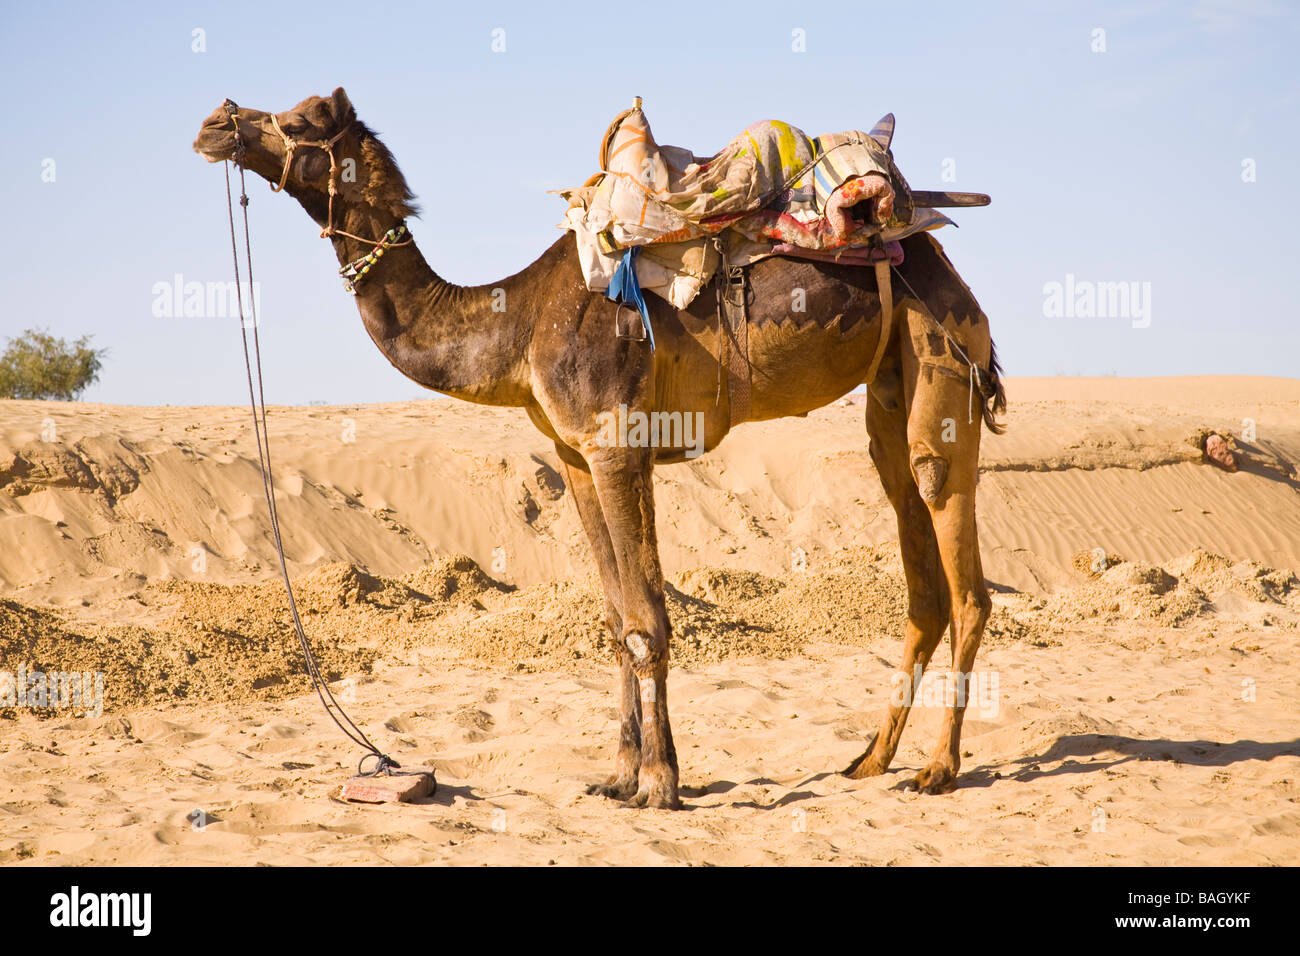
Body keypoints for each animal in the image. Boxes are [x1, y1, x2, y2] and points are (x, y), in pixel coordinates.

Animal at [193, 88, 1006, 809]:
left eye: (301, 119)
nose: (215, 123)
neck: (516, 326)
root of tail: (935, 249)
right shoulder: (576, 456)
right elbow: (616, 622)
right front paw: (618, 777)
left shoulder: (619, 446)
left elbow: (647, 620)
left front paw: (660, 784)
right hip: (890, 384)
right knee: (916, 551)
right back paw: (869, 760)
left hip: (943, 352)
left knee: (959, 557)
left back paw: (939, 769)